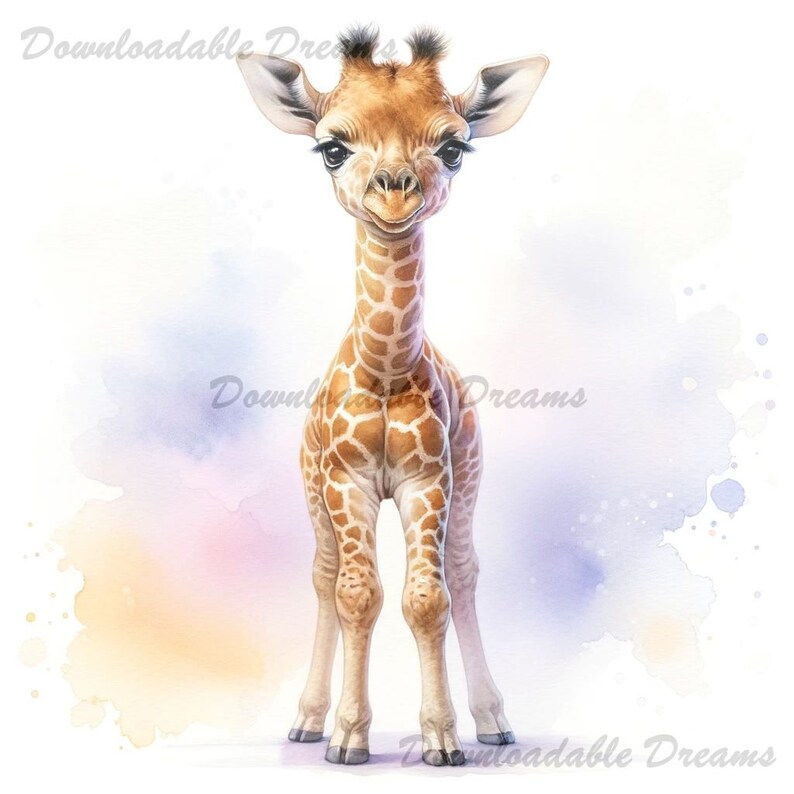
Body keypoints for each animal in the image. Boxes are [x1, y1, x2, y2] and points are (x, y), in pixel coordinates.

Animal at [237, 26, 548, 766]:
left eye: (454, 148)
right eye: (332, 146)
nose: (396, 194)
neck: (384, 368)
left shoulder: (427, 479)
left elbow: (426, 598)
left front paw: (443, 738)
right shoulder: (344, 480)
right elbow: (356, 594)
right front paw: (347, 737)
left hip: (471, 472)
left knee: (463, 573)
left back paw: (493, 721)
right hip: (310, 484)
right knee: (323, 578)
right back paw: (306, 721)